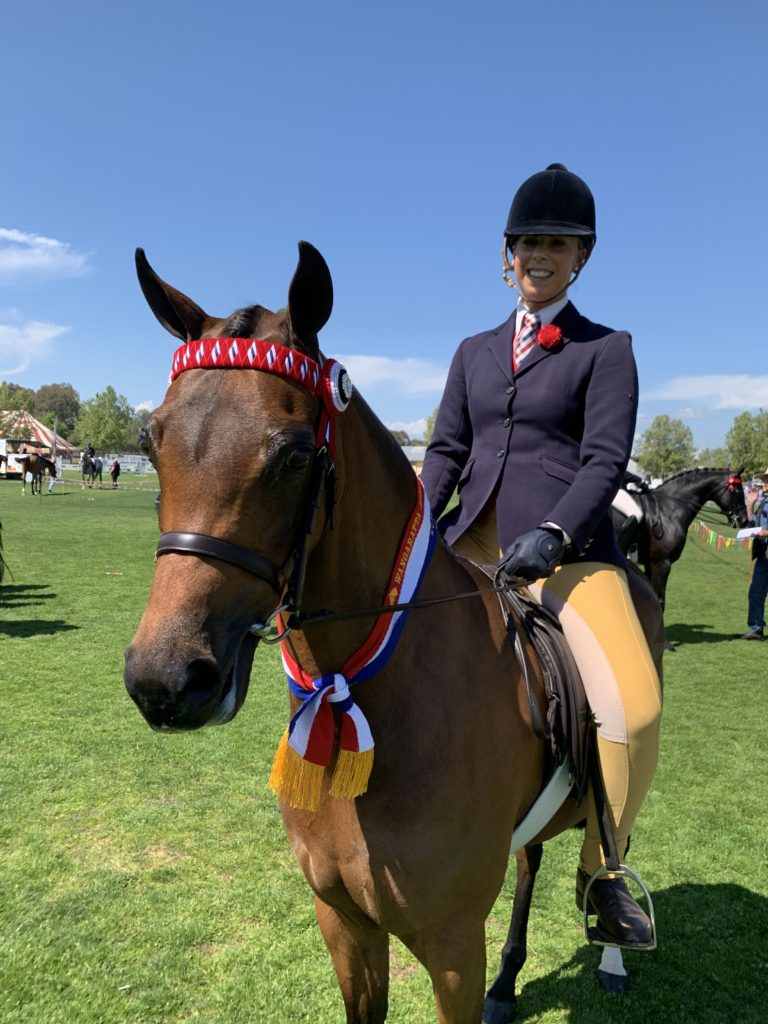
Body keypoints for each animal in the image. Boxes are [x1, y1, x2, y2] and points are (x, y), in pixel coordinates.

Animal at [124, 243, 665, 1024]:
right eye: (151, 440)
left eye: (294, 455)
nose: (164, 681)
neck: (371, 694)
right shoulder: (344, 921)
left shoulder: (452, 944)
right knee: (531, 859)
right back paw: (510, 982)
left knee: (611, 841)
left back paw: (616, 935)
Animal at [613, 468, 749, 611]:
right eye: (738, 490)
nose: (744, 520)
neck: (668, 510)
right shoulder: (661, 562)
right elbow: (660, 601)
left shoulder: (650, 563)